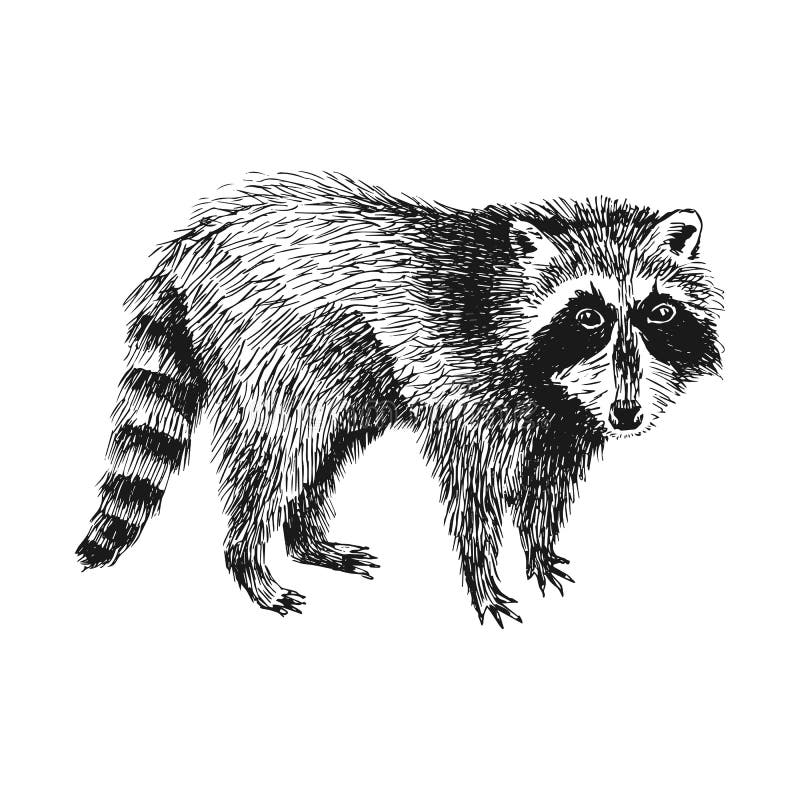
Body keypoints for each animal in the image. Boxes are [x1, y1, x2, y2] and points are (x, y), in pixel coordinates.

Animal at [77, 172, 722, 625]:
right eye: (588, 317)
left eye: (659, 312)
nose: (627, 415)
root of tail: (199, 236)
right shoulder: (469, 390)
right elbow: (474, 497)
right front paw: (484, 578)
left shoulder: (563, 417)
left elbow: (548, 486)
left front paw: (539, 552)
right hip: (273, 354)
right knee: (275, 458)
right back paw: (252, 560)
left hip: (347, 380)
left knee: (322, 452)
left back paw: (307, 540)